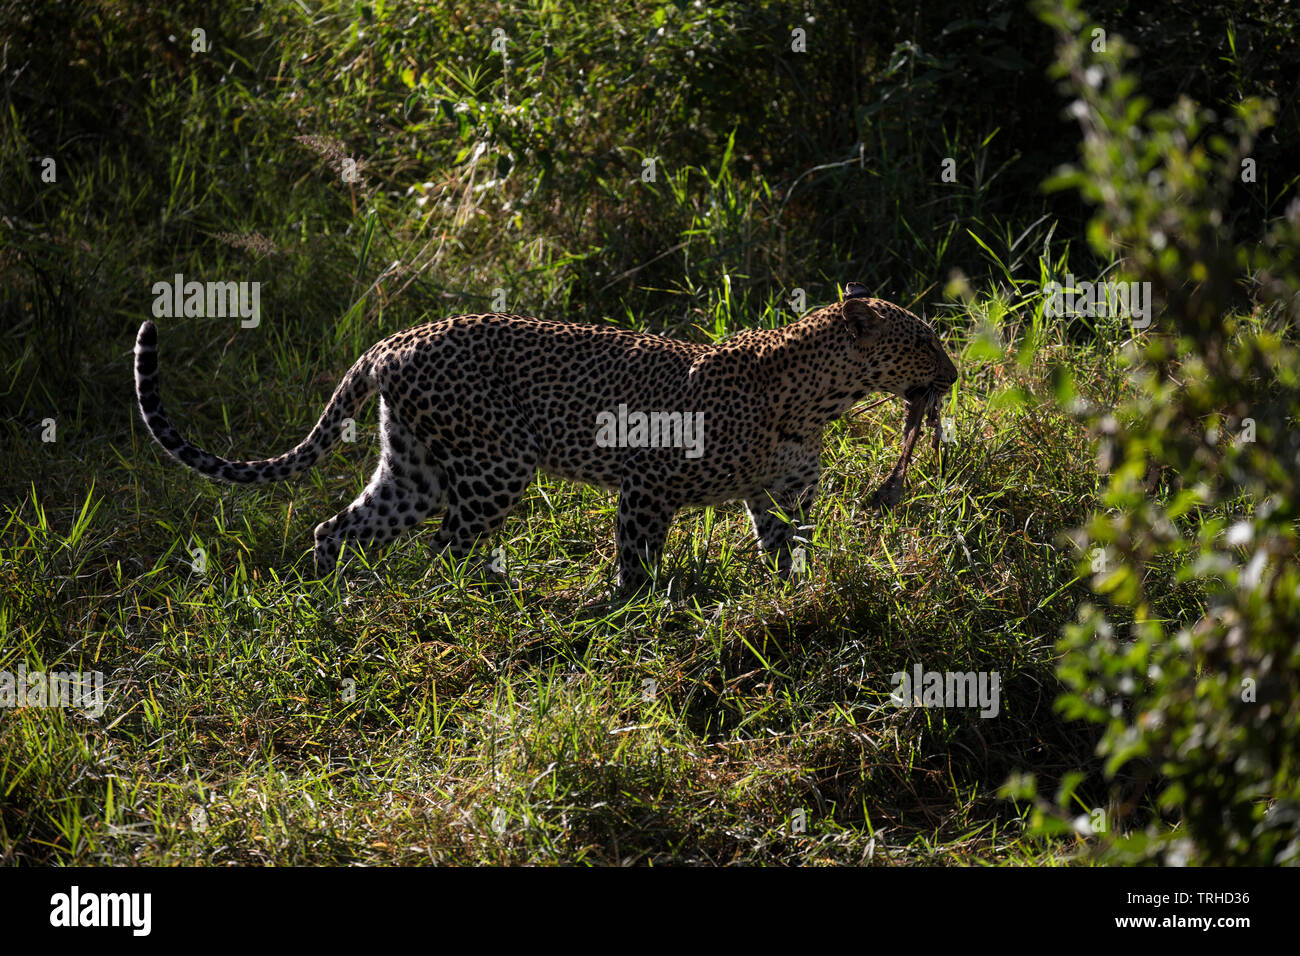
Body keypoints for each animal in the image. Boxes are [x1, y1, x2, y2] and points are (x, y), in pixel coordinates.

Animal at [133, 282, 958, 593]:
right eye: (922, 340)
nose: (951, 372)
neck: (818, 400)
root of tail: (395, 339)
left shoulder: (780, 491)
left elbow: (789, 547)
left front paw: (793, 595)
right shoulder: (648, 483)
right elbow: (637, 558)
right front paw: (629, 607)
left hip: (416, 468)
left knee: (339, 525)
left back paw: (333, 599)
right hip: (491, 466)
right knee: (447, 549)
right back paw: (481, 603)